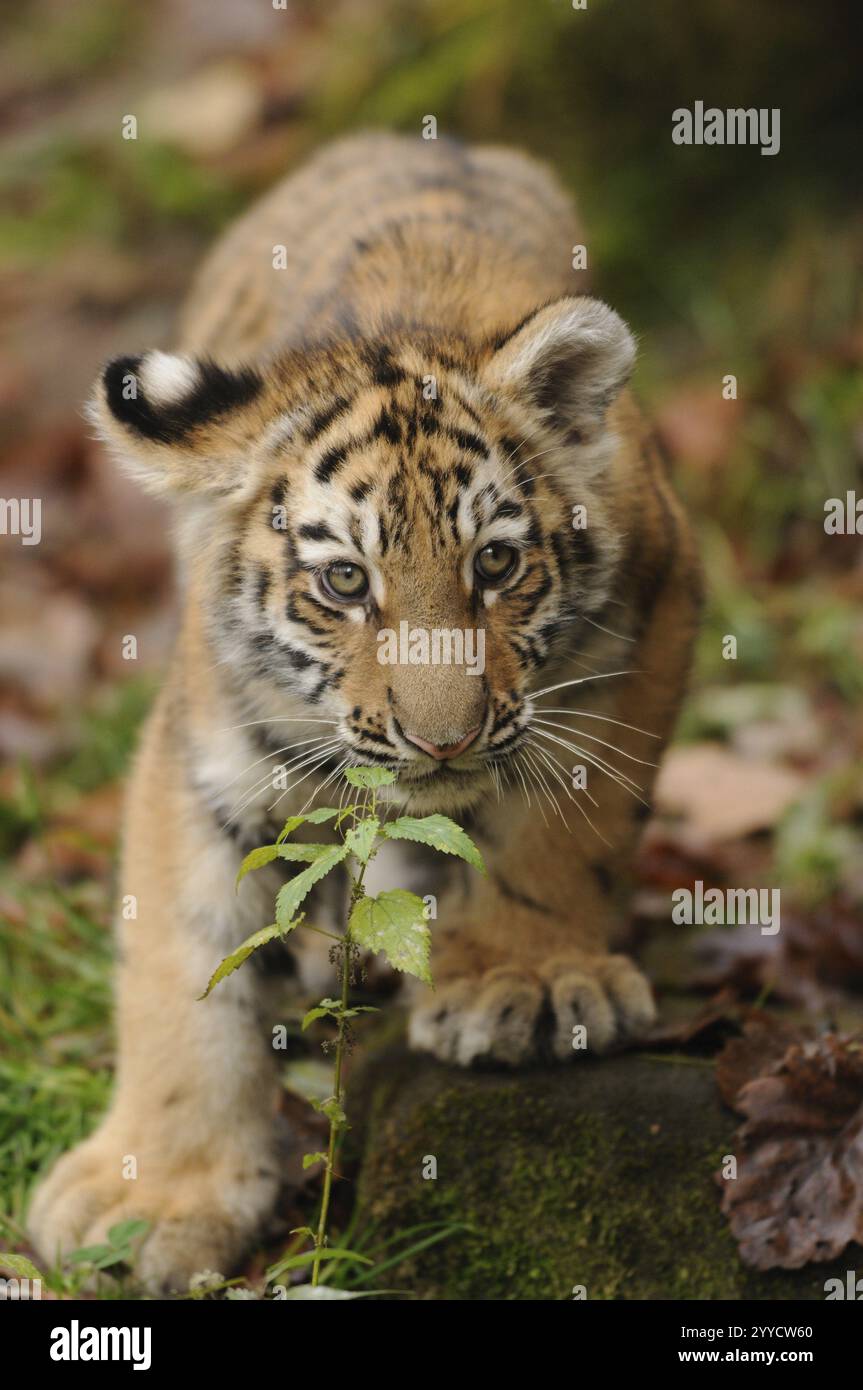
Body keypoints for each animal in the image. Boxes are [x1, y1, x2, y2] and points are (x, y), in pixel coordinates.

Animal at [29, 132, 701, 1292]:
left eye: (495, 565)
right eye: (345, 582)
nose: (445, 736)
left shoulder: (648, 611)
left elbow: (560, 828)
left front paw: (526, 979)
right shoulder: (204, 743)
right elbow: (177, 958)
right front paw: (154, 1194)